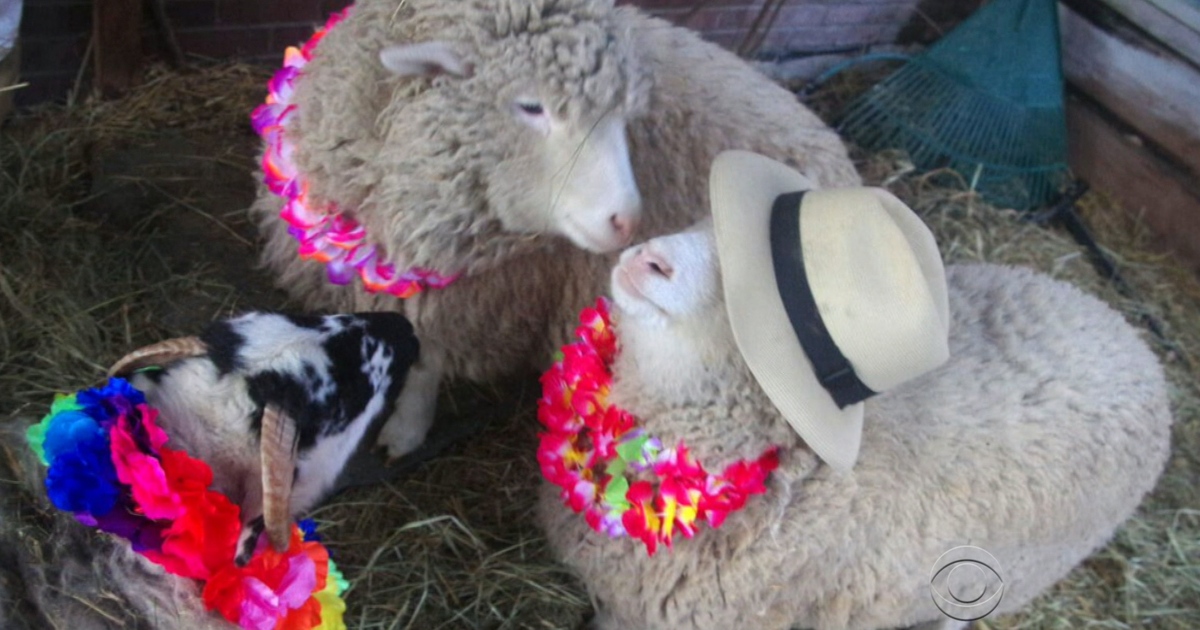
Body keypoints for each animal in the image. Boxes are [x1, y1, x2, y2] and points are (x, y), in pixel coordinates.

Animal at [249, 0, 861, 460]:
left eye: (625, 118)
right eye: (530, 106)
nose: (627, 220)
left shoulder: (473, 292)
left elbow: (428, 357)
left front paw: (405, 431)